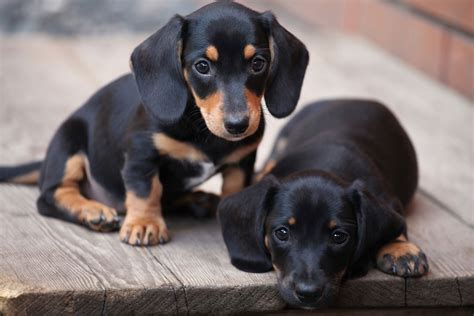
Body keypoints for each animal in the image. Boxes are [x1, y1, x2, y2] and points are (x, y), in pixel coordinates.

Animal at [0, 1, 308, 246]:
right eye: (202, 66)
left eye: (258, 63)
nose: (238, 125)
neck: (201, 130)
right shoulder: (142, 153)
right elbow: (146, 190)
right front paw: (145, 224)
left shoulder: (242, 162)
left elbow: (234, 189)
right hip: (68, 141)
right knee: (51, 195)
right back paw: (92, 211)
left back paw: (198, 199)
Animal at [218, 99, 430, 308]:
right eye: (282, 233)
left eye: (339, 236)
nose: (308, 294)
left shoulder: (387, 197)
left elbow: (398, 223)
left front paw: (401, 249)